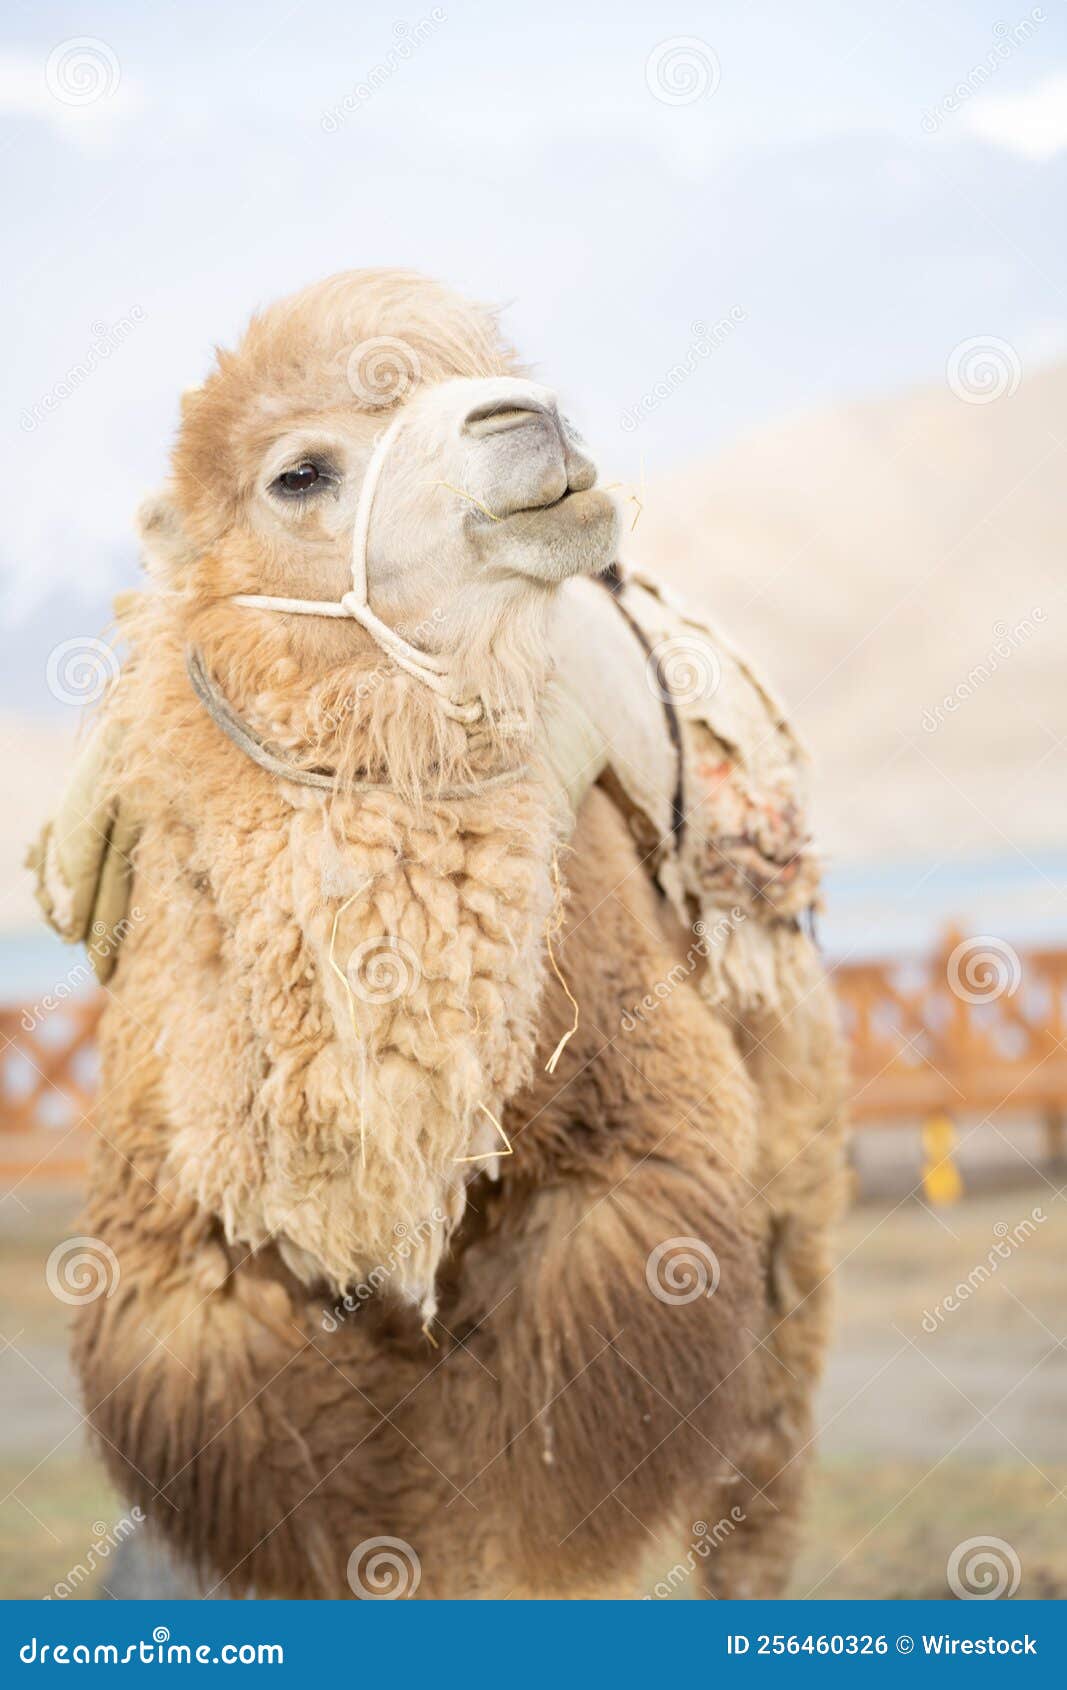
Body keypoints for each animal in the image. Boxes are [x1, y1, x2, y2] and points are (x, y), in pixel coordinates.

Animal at [58, 270, 845, 1599]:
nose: (532, 422)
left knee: (761, 1456)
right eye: (297, 473)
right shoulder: (191, 1295)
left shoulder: (627, 1205)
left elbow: (526, 1516)